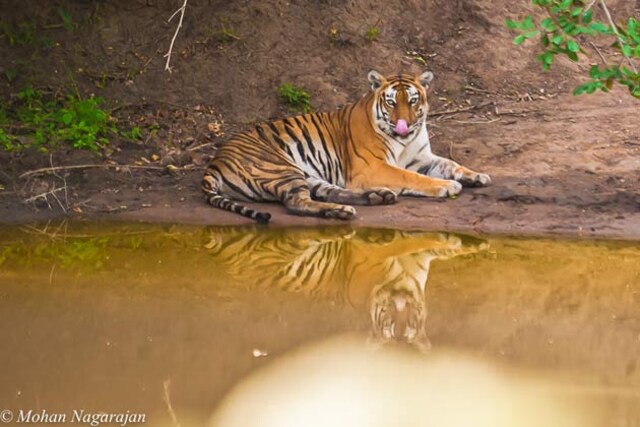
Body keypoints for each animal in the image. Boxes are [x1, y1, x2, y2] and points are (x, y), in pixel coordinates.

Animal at [202, 70, 491, 223]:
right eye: (391, 102)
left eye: (412, 100)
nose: (405, 124)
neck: (406, 139)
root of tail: (215, 161)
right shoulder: (372, 167)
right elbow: (411, 177)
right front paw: (447, 186)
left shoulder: (421, 158)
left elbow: (450, 163)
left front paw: (477, 176)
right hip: (280, 168)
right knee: (297, 202)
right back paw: (346, 210)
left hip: (307, 175)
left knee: (328, 192)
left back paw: (374, 197)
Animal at [204, 226, 488, 351]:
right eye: (388, 319)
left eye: (409, 320)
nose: (399, 301)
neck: (404, 278)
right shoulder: (375, 255)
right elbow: (407, 241)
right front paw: (446, 237)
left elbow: (440, 249)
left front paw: (476, 243)